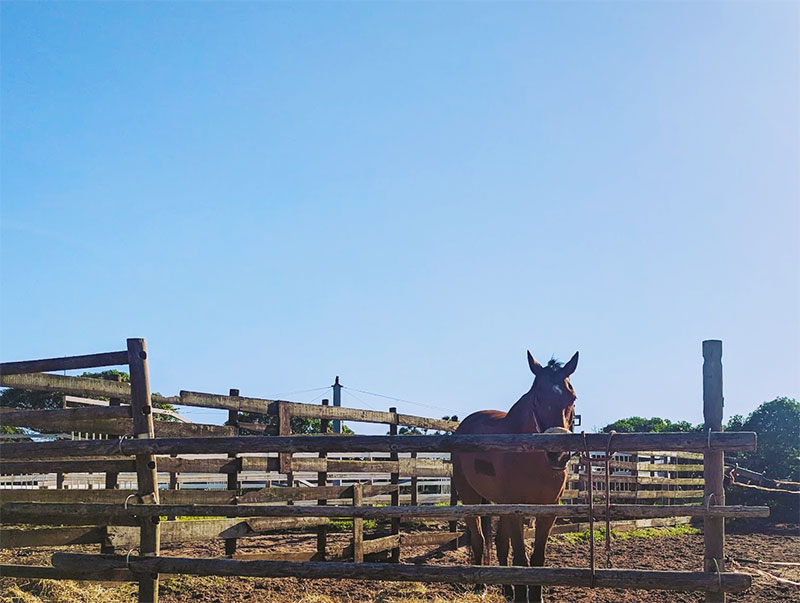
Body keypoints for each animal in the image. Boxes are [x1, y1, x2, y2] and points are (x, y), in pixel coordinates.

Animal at [451, 350, 579, 603]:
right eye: (537, 398)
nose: (558, 455)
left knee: (500, 543)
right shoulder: (515, 509)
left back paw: (507, 590)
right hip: (471, 497)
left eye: (573, 398)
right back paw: (481, 587)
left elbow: (536, 559)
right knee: (479, 540)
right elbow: (520, 558)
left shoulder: (548, 510)